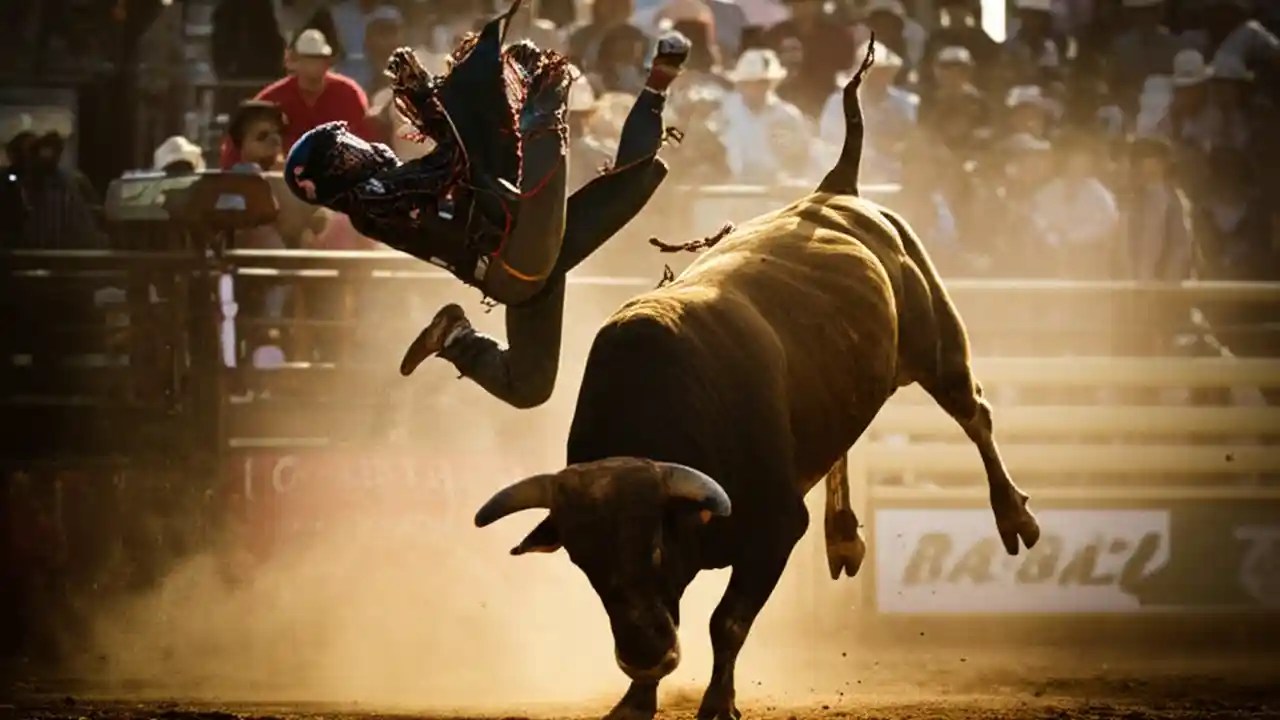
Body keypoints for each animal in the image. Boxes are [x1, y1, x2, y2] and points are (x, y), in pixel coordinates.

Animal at [473, 43, 1041, 720]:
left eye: (654, 546)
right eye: (584, 560)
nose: (643, 656)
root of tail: (836, 191)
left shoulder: (774, 531)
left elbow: (727, 623)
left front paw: (717, 701)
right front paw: (637, 697)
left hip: (937, 342)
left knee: (975, 416)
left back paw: (1014, 518)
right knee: (846, 443)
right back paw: (843, 538)